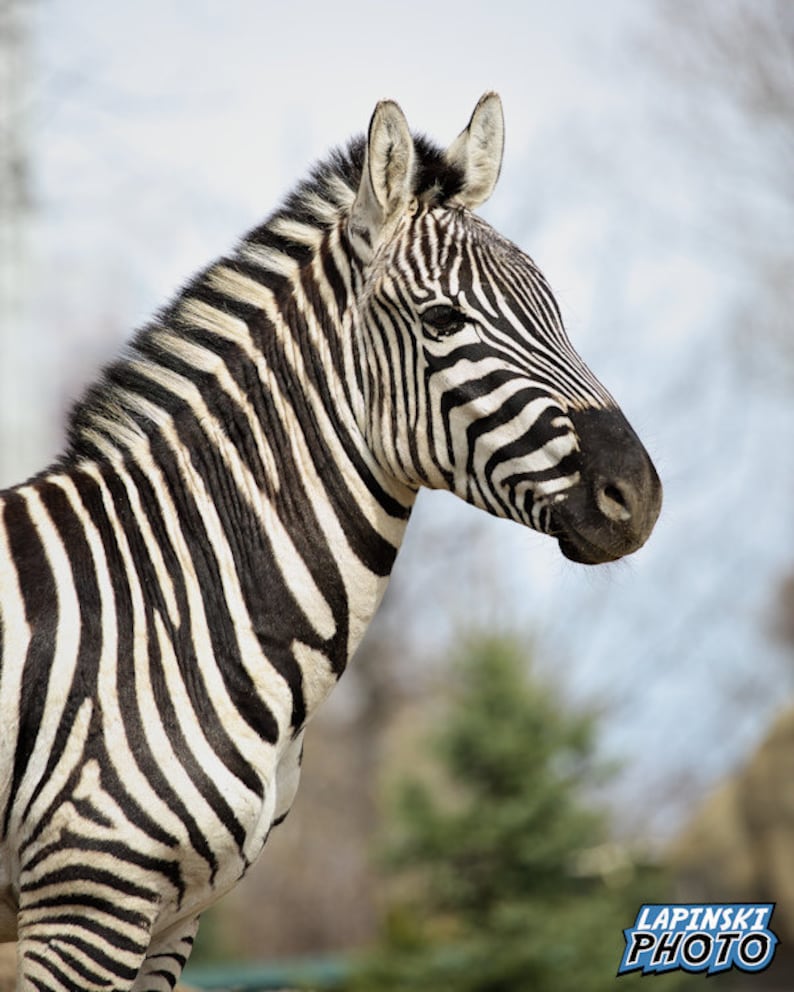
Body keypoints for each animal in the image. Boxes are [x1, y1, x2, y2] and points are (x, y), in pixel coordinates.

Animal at [0, 93, 661, 990]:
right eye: (443, 319)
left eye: (552, 309)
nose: (640, 497)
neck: (173, 598)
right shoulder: (85, 896)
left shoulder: (176, 918)